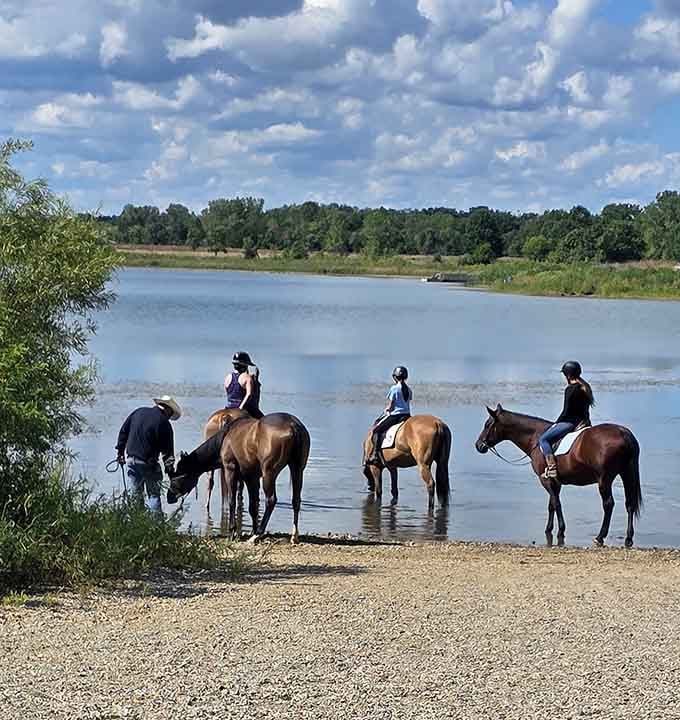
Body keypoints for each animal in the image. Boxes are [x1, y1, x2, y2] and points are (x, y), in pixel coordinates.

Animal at [168, 413, 311, 544]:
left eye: (177, 476)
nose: (169, 497)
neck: (226, 438)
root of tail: (293, 425)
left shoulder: (230, 471)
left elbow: (232, 501)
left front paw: (233, 532)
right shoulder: (251, 477)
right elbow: (253, 505)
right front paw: (252, 529)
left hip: (269, 473)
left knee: (271, 500)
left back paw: (257, 535)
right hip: (297, 469)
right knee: (296, 500)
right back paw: (293, 536)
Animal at [475, 404, 642, 547]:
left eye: (487, 425)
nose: (478, 445)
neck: (536, 438)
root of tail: (623, 433)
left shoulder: (545, 480)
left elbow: (556, 503)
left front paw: (561, 530)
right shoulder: (554, 481)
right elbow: (551, 505)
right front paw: (549, 529)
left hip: (605, 479)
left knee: (608, 504)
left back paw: (600, 536)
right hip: (626, 473)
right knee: (629, 504)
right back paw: (628, 538)